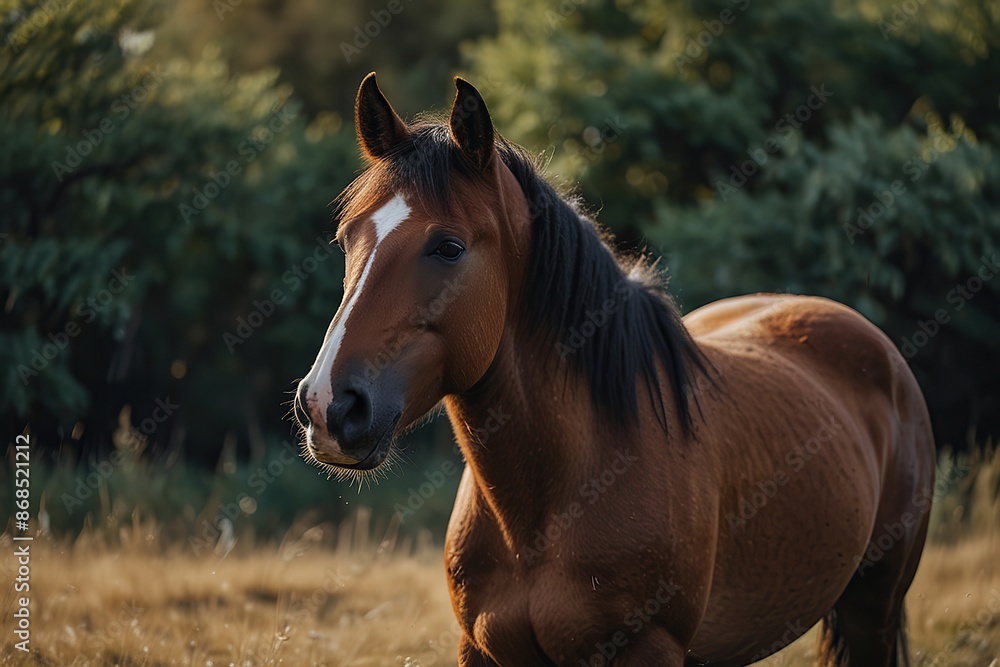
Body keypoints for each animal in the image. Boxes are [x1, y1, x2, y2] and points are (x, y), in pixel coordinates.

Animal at [293, 73, 935, 666]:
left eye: (448, 247)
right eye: (348, 238)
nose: (328, 405)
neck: (544, 511)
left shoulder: (648, 648)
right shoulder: (480, 649)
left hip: (873, 608)